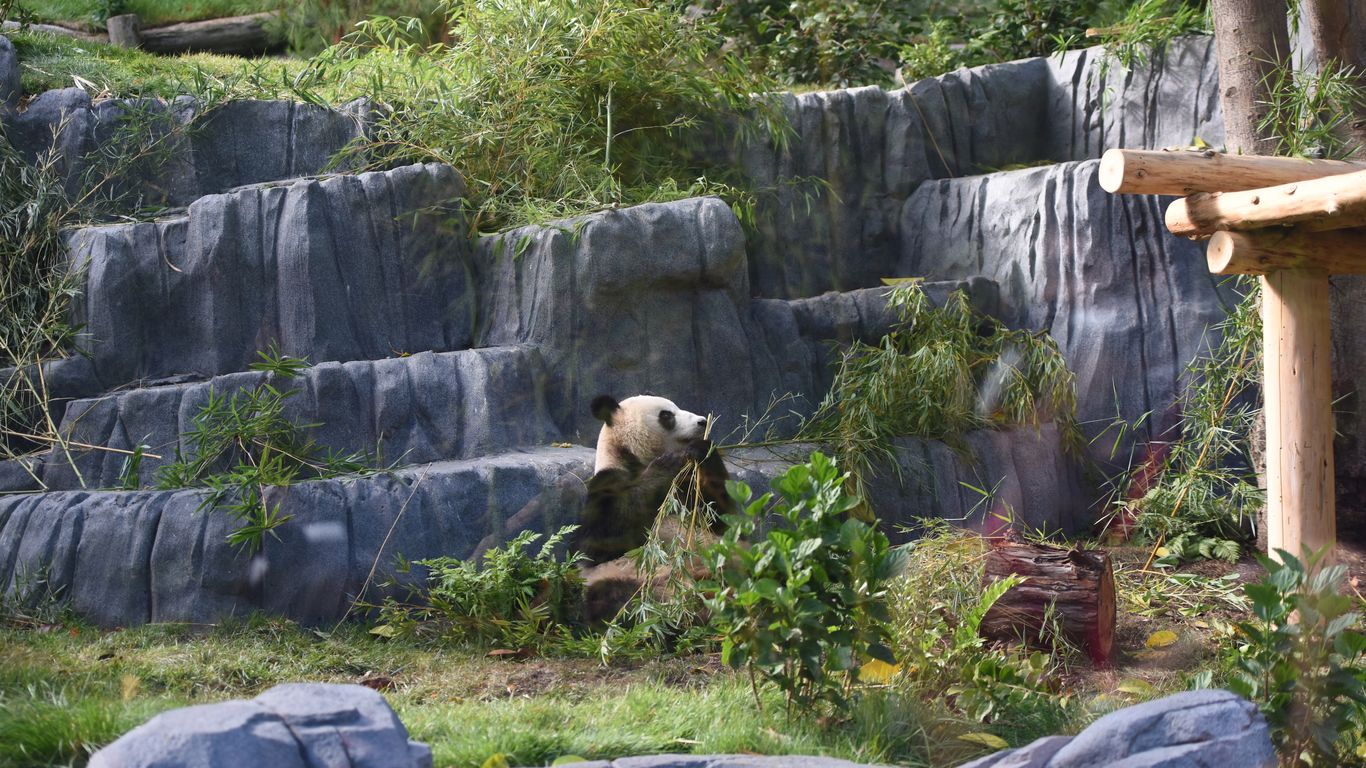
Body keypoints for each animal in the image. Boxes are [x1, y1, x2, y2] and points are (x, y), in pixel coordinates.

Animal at [574, 393, 734, 566]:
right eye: (666, 415)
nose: (703, 421)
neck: (631, 456)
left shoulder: (686, 483)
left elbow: (721, 519)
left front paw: (703, 448)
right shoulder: (607, 480)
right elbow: (598, 543)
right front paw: (665, 465)